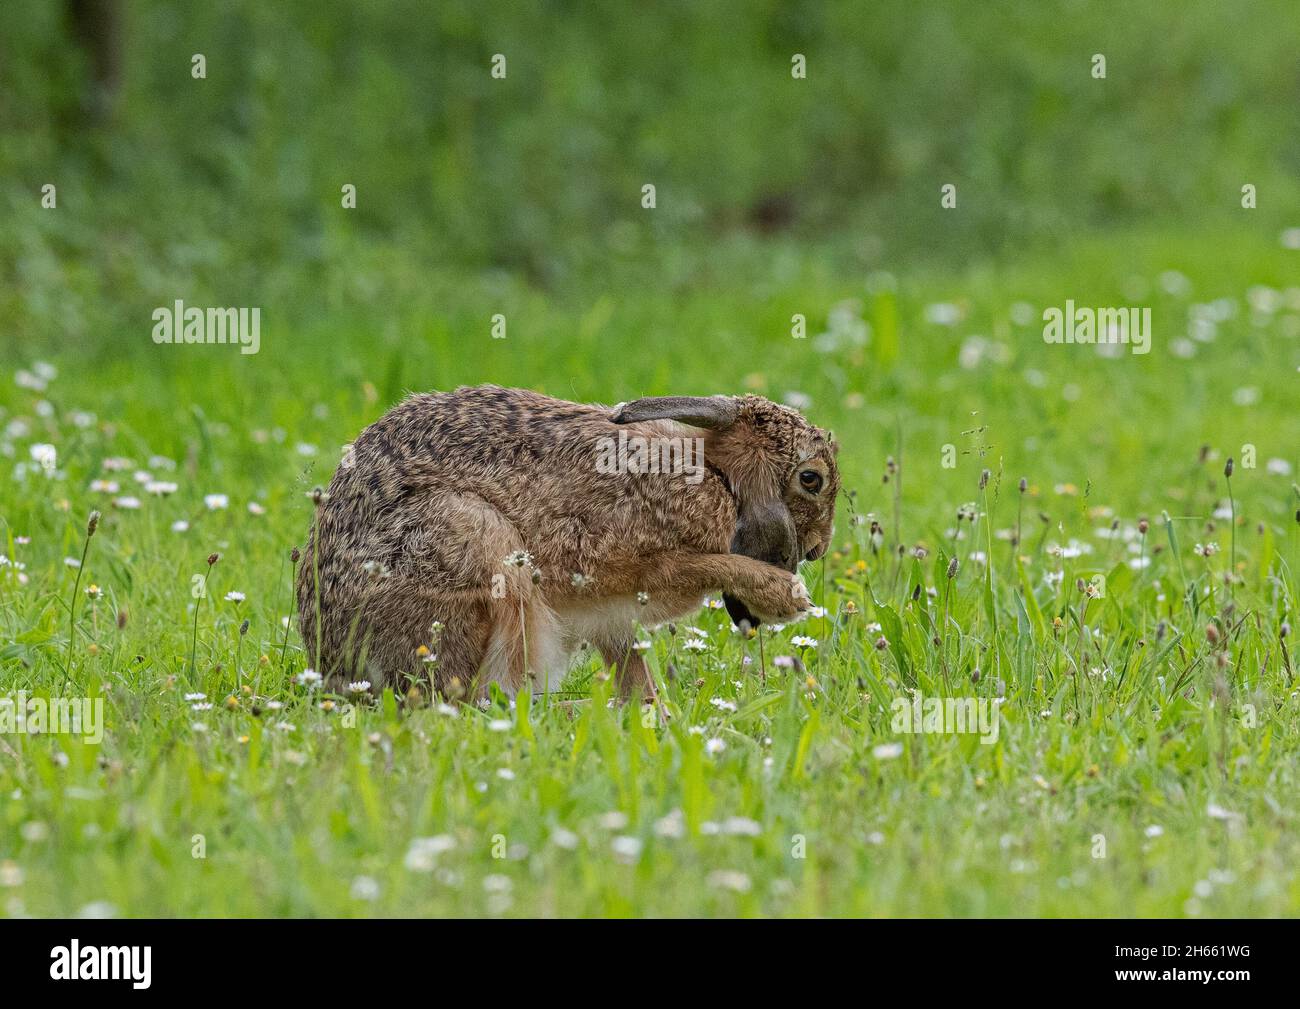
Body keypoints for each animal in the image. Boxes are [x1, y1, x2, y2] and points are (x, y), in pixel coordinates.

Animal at [295, 385, 839, 699]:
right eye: (810, 479)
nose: (818, 550)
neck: (716, 475)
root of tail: (337, 668)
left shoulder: (615, 618)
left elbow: (634, 674)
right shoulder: (635, 565)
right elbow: (709, 565)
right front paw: (787, 597)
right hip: (474, 543)